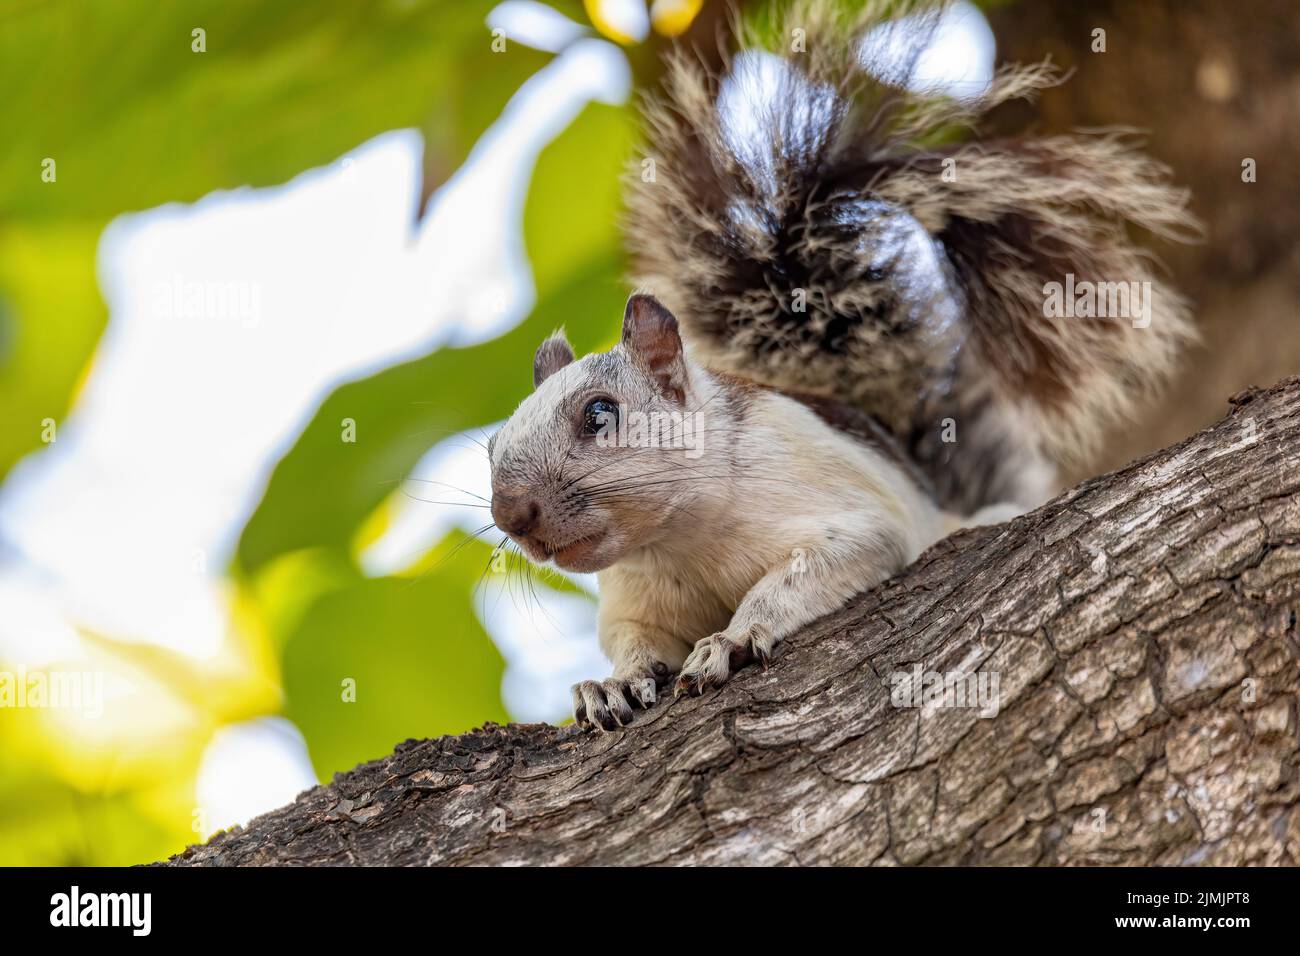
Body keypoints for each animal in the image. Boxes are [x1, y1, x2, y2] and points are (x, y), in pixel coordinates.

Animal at [488, 0, 1195, 731]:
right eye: (490, 443)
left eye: (600, 413)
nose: (511, 514)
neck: (681, 540)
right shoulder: (635, 596)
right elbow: (632, 641)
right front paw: (611, 685)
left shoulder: (847, 511)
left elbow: (811, 573)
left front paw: (733, 638)